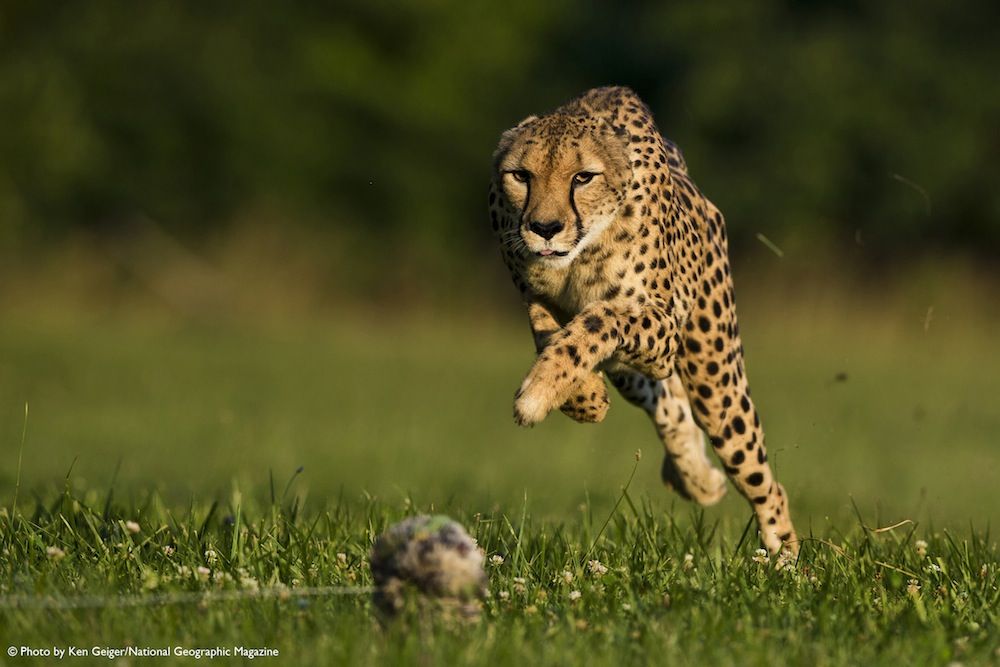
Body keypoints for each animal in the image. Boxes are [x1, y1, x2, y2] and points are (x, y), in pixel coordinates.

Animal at [488, 86, 798, 555]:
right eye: (521, 175)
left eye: (583, 177)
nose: (544, 227)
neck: (582, 254)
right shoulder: (533, 294)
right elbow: (549, 334)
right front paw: (585, 398)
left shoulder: (663, 329)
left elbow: (599, 319)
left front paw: (539, 394)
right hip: (641, 374)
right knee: (668, 404)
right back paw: (699, 480)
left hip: (714, 378)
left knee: (760, 476)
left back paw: (785, 559)